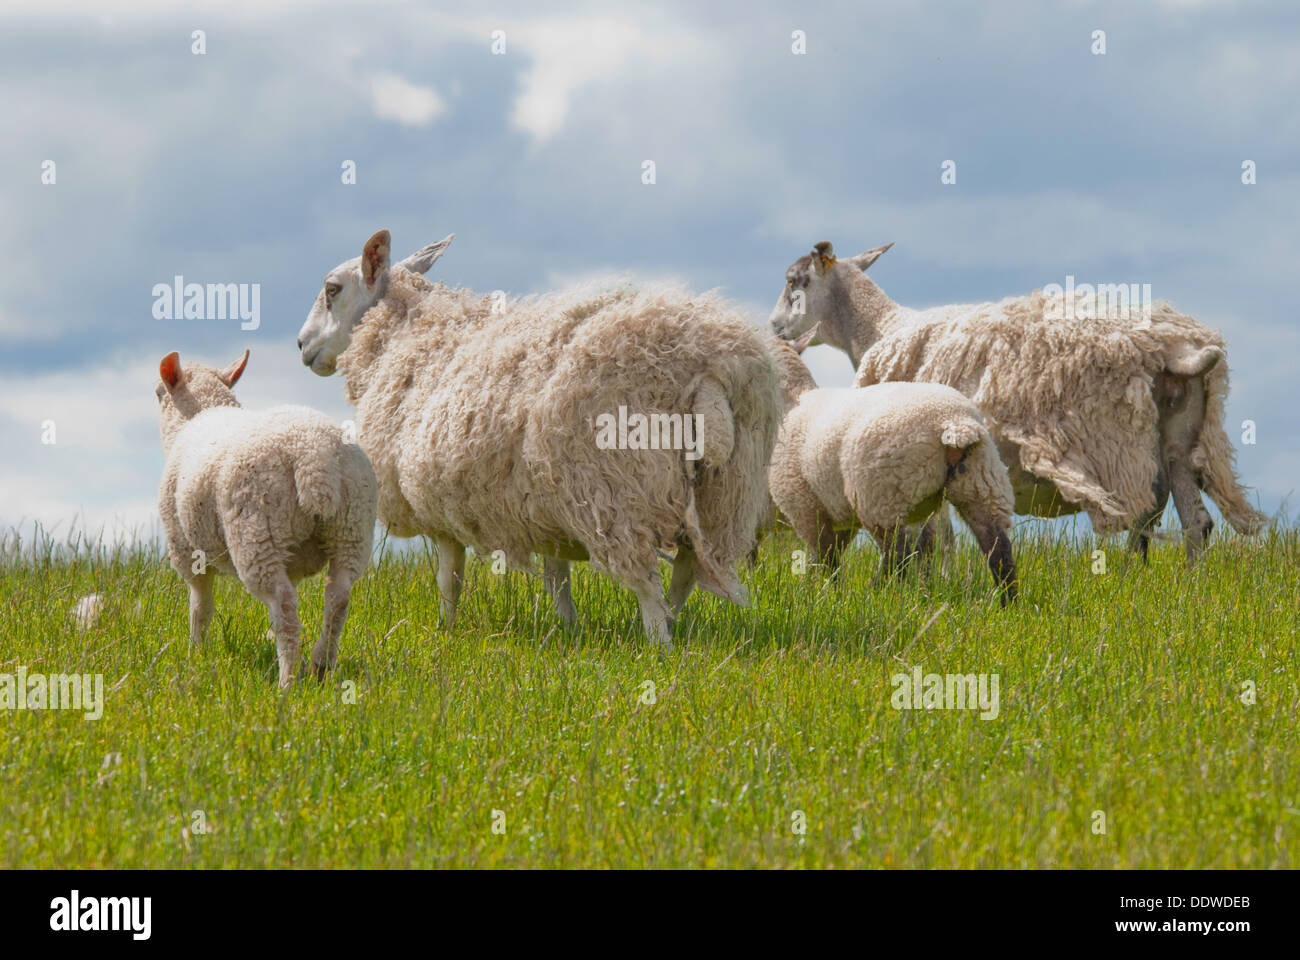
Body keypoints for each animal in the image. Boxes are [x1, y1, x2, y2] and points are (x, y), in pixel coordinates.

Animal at [155, 349, 378, 686]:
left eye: (158, 393)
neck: (197, 415)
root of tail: (314, 456)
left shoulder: (186, 548)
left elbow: (200, 605)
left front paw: (196, 654)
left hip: (256, 529)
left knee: (283, 604)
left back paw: (287, 682)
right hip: (352, 527)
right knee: (338, 596)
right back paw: (320, 665)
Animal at [295, 230, 780, 647]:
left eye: (332, 289)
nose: (301, 346)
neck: (405, 336)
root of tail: (709, 367)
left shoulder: (437, 504)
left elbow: (449, 578)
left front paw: (446, 631)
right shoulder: (543, 504)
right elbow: (557, 577)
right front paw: (568, 629)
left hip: (616, 486)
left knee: (645, 579)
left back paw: (658, 643)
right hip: (724, 492)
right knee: (686, 571)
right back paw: (674, 623)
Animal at [767, 333, 1017, 602]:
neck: (794, 400)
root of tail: (953, 422)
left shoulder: (805, 507)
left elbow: (825, 557)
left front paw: (827, 594)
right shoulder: (840, 514)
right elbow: (829, 556)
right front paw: (825, 590)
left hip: (881, 496)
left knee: (897, 555)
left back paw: (876, 594)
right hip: (982, 482)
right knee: (999, 549)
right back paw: (1007, 603)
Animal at [769, 241, 1267, 562]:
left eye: (797, 281)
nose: (774, 327)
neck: (880, 328)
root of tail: (1177, 348)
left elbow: (936, 541)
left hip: (1120, 443)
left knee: (1143, 515)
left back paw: (1133, 579)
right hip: (1182, 438)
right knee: (1196, 522)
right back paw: (1191, 587)